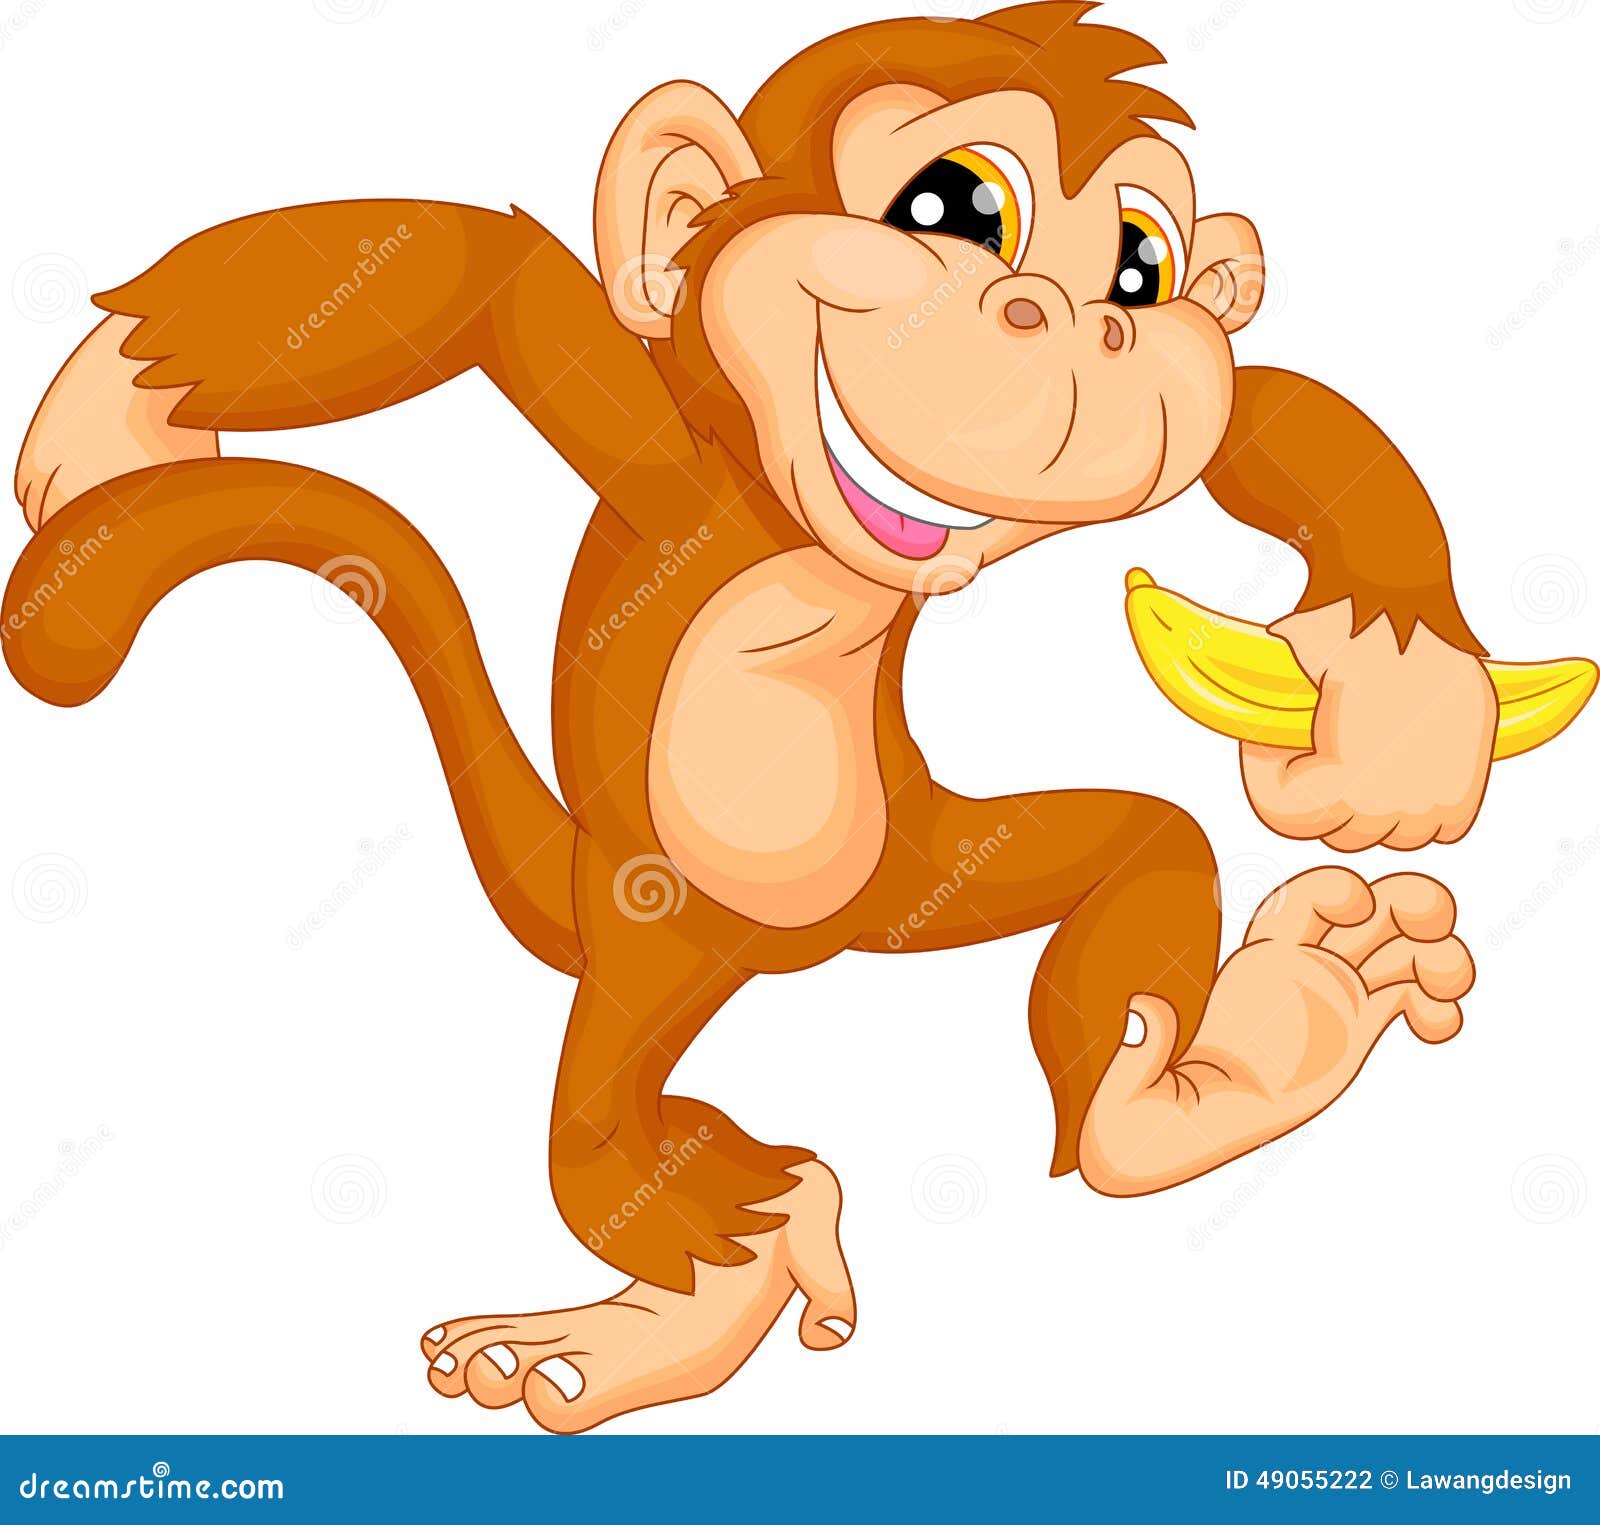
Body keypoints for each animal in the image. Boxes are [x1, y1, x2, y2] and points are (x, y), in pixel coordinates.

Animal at [8, 3, 1493, 1433]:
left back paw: (1227, 1065)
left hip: (920, 868)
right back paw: (702, 1257)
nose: (1077, 319)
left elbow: (1258, 411)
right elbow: (481, 275)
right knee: (612, 1140)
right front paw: (104, 415)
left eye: (1141, 267)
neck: (819, 552)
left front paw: (1402, 708)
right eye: (950, 206)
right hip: (652, 940)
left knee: (1147, 851)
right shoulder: (665, 464)